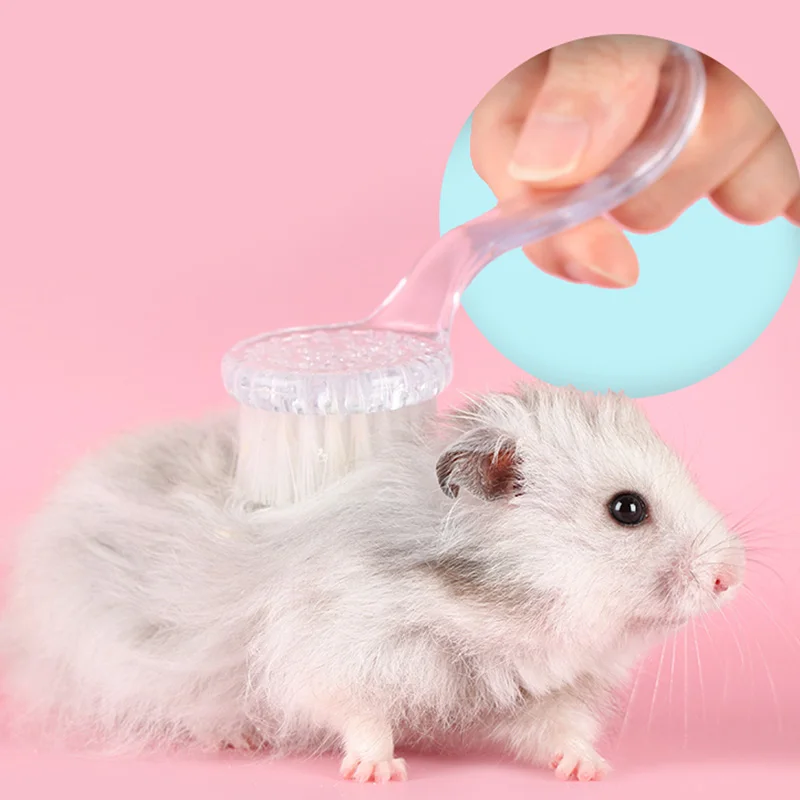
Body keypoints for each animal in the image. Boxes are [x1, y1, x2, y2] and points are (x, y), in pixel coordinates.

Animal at [0, 383, 745, 782]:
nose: (728, 579)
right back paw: (236, 738)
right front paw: (380, 772)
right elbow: (360, 717)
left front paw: (590, 770)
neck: (500, 609)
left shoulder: (545, 689)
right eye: (627, 509)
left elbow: (558, 731)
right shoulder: (337, 656)